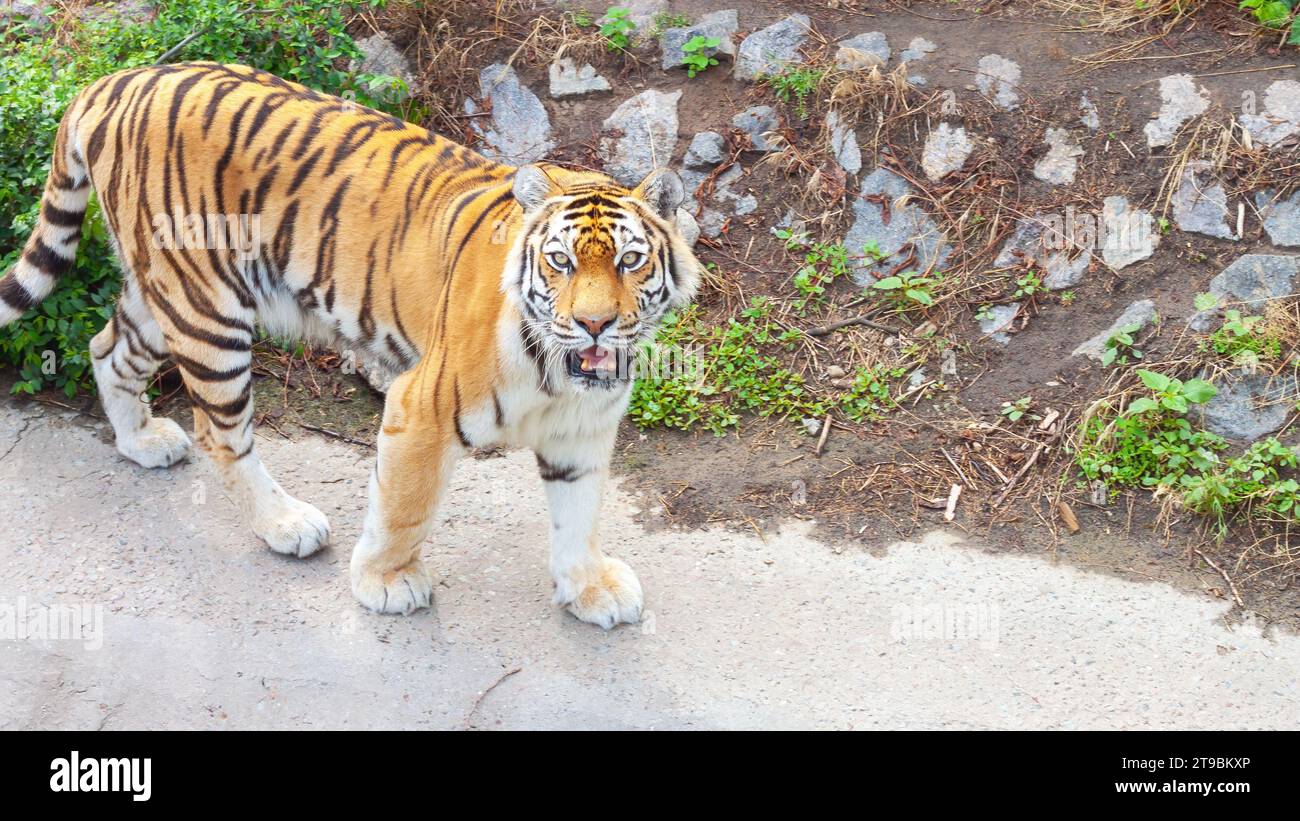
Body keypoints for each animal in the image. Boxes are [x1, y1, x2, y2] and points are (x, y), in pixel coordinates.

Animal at [0, 62, 702, 629]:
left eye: (630, 261)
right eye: (559, 262)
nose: (594, 325)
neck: (560, 375)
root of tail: (118, 80)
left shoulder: (581, 432)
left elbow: (578, 515)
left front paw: (589, 589)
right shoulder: (422, 407)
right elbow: (404, 507)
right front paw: (387, 584)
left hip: (160, 294)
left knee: (104, 348)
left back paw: (140, 441)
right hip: (206, 310)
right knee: (220, 435)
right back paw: (286, 524)